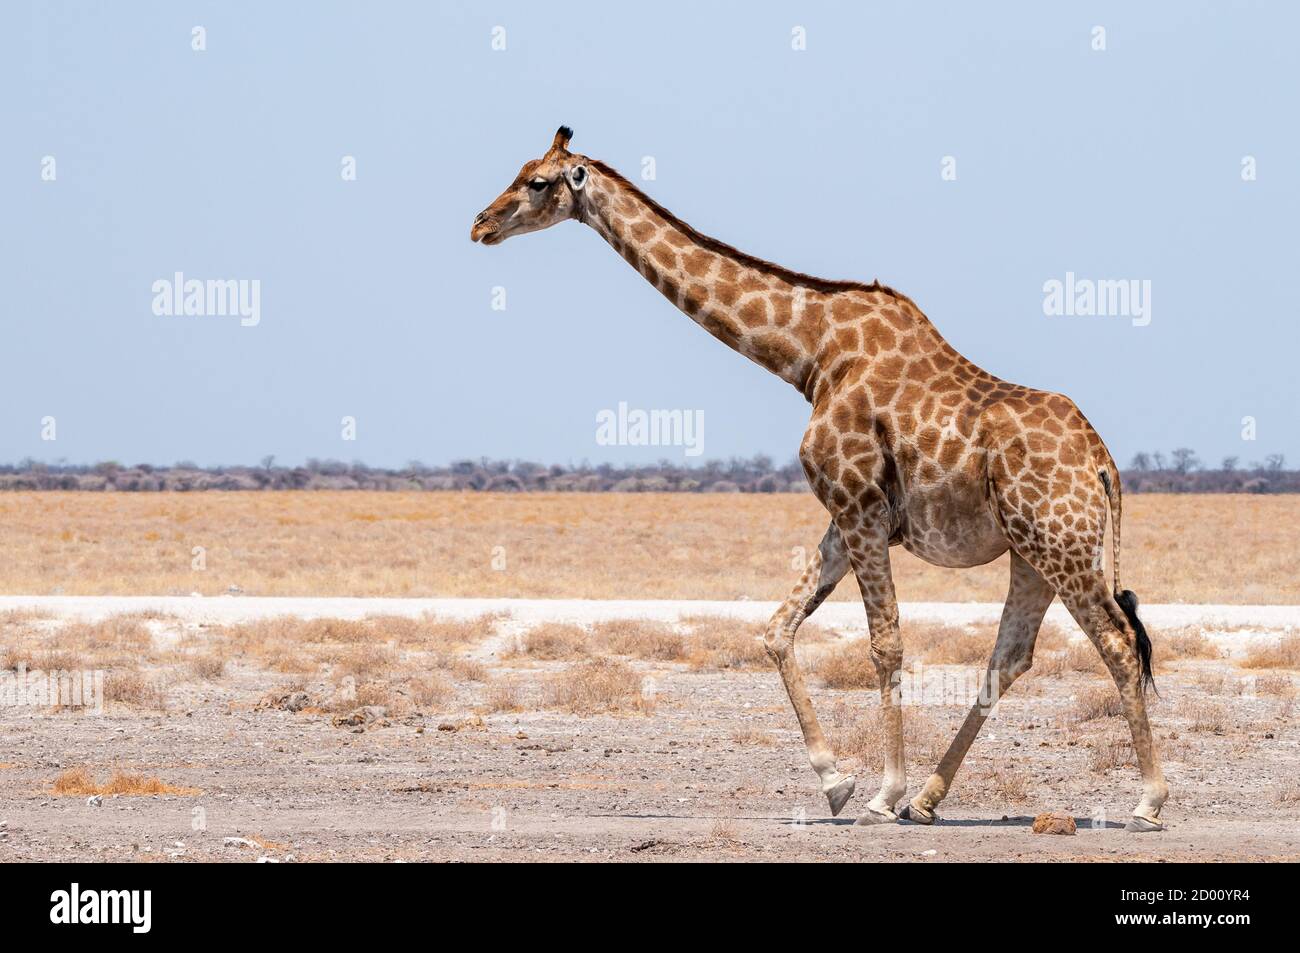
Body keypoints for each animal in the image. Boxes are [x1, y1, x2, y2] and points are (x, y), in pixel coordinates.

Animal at [471, 127, 1167, 832]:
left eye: (537, 182)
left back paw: (1146, 801)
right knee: (1012, 655)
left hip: (1060, 543)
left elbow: (885, 644)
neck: (809, 356)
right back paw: (928, 799)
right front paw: (837, 782)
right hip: (1031, 551)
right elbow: (777, 630)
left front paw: (880, 794)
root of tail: (1102, 460)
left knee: (1116, 642)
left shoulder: (859, 505)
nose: (480, 225)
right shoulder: (844, 516)